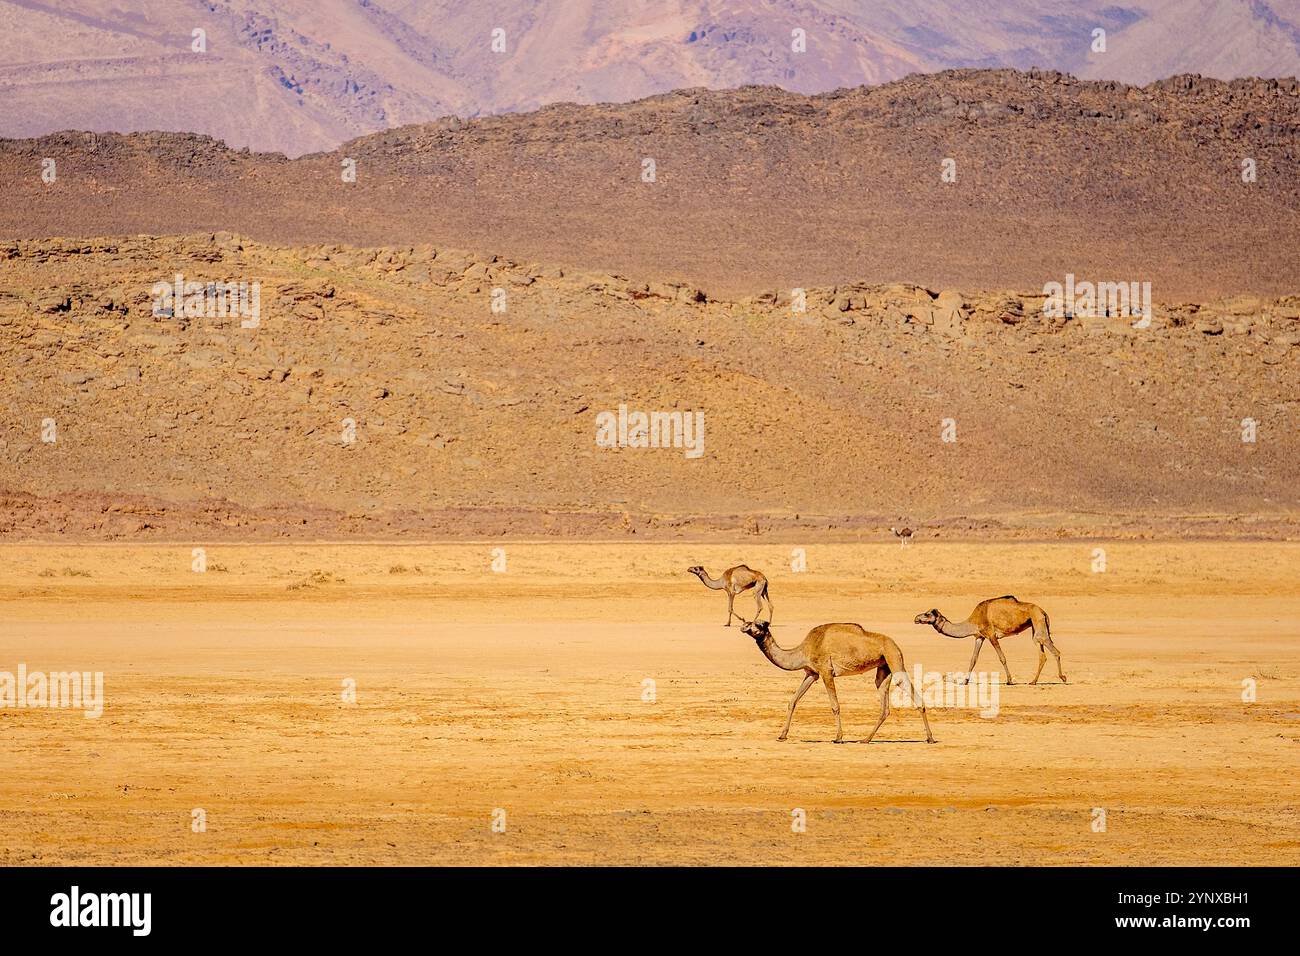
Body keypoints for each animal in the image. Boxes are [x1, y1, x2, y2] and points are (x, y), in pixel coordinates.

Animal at [739, 618, 935, 744]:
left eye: (757, 624)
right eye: (749, 621)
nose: (743, 626)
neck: (803, 650)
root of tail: (895, 644)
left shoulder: (826, 671)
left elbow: (835, 705)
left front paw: (838, 737)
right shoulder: (812, 673)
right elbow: (793, 700)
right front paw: (782, 735)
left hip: (894, 658)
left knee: (913, 694)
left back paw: (930, 738)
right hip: (884, 667)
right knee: (884, 703)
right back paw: (865, 739)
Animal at [913, 595, 1065, 685]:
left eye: (927, 614)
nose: (916, 618)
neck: (973, 621)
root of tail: (1043, 612)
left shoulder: (991, 635)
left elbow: (1002, 658)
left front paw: (1009, 681)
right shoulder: (979, 637)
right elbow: (973, 659)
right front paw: (965, 681)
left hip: (1037, 622)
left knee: (1052, 649)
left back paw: (1062, 678)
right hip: (1035, 625)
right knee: (1042, 653)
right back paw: (1034, 681)